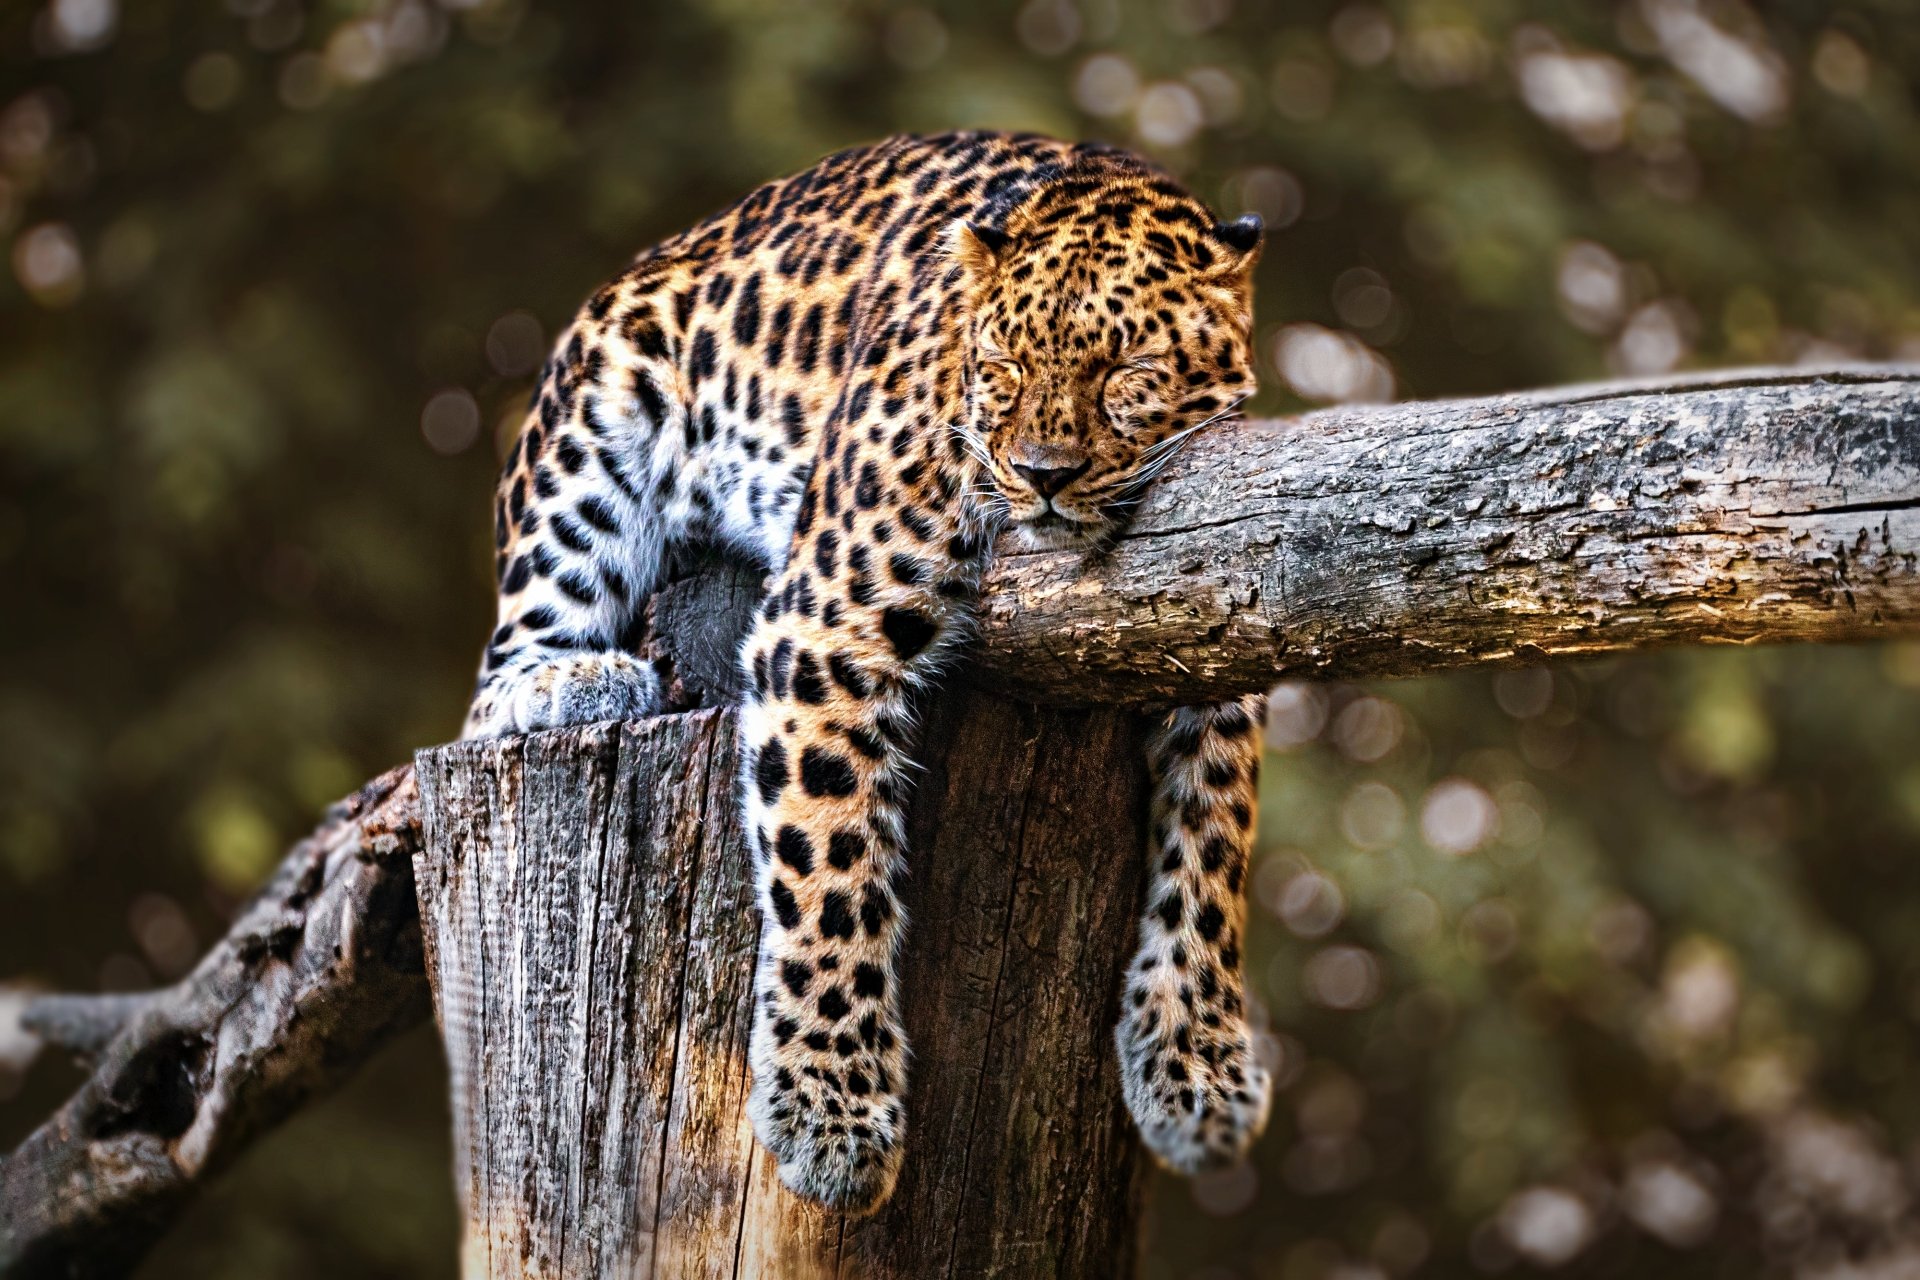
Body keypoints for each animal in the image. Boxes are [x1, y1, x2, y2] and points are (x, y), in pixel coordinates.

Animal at [462, 131, 1271, 1214]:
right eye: (1004, 368)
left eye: (1126, 371)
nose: (1042, 476)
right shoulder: (824, 627)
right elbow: (830, 863)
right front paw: (830, 1113)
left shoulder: (1223, 631)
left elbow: (1213, 852)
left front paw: (1196, 1069)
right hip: (589, 434)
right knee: (498, 673)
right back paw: (572, 680)